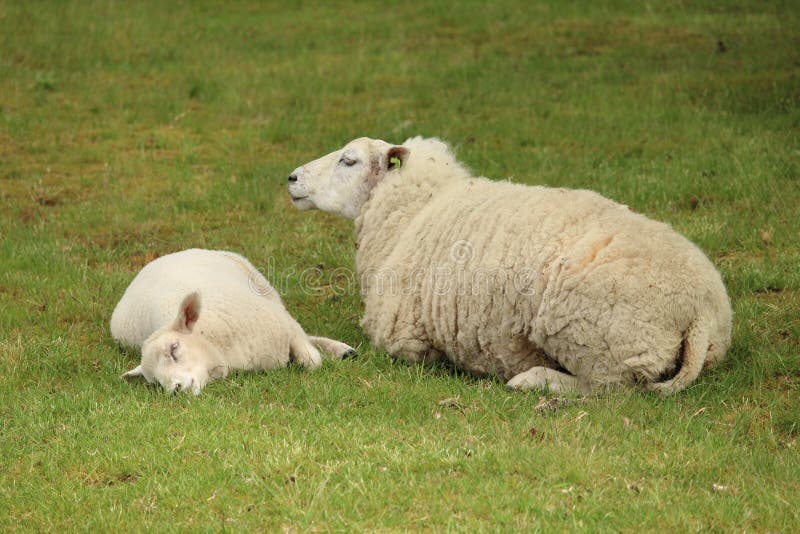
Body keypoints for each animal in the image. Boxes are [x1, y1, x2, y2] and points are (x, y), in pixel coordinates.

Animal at [111, 248, 354, 394]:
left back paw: (340, 349)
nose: (176, 389)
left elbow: (311, 361)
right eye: (155, 382)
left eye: (173, 348)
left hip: (266, 291)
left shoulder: (284, 327)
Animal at [287, 136, 732, 394]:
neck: (414, 210)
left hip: (600, 339)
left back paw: (532, 380)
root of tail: (701, 312)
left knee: (608, 389)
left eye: (348, 161)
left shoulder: (405, 340)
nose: (291, 178)